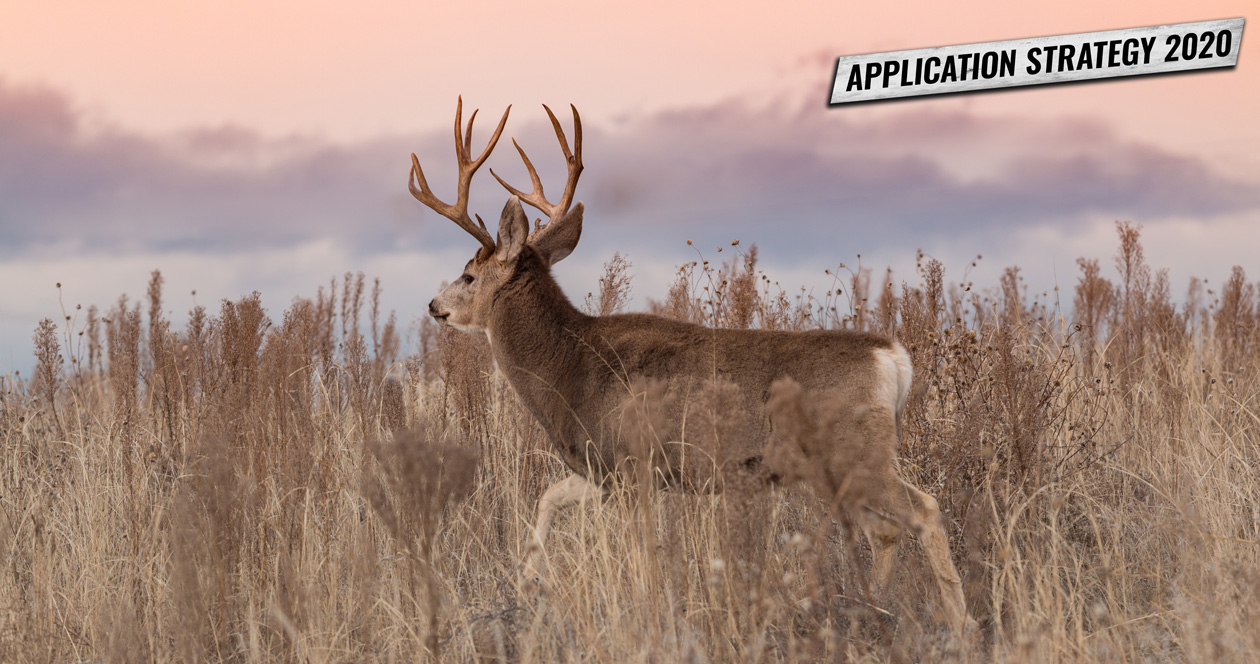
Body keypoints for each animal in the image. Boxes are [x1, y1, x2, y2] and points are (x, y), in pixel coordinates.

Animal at [409, 98, 974, 634]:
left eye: (468, 275)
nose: (434, 306)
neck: (568, 369)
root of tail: (893, 358)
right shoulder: (603, 468)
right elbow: (549, 499)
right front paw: (527, 582)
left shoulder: (631, 461)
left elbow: (642, 554)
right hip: (833, 467)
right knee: (887, 529)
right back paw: (870, 608)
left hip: (856, 451)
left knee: (923, 511)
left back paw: (959, 623)